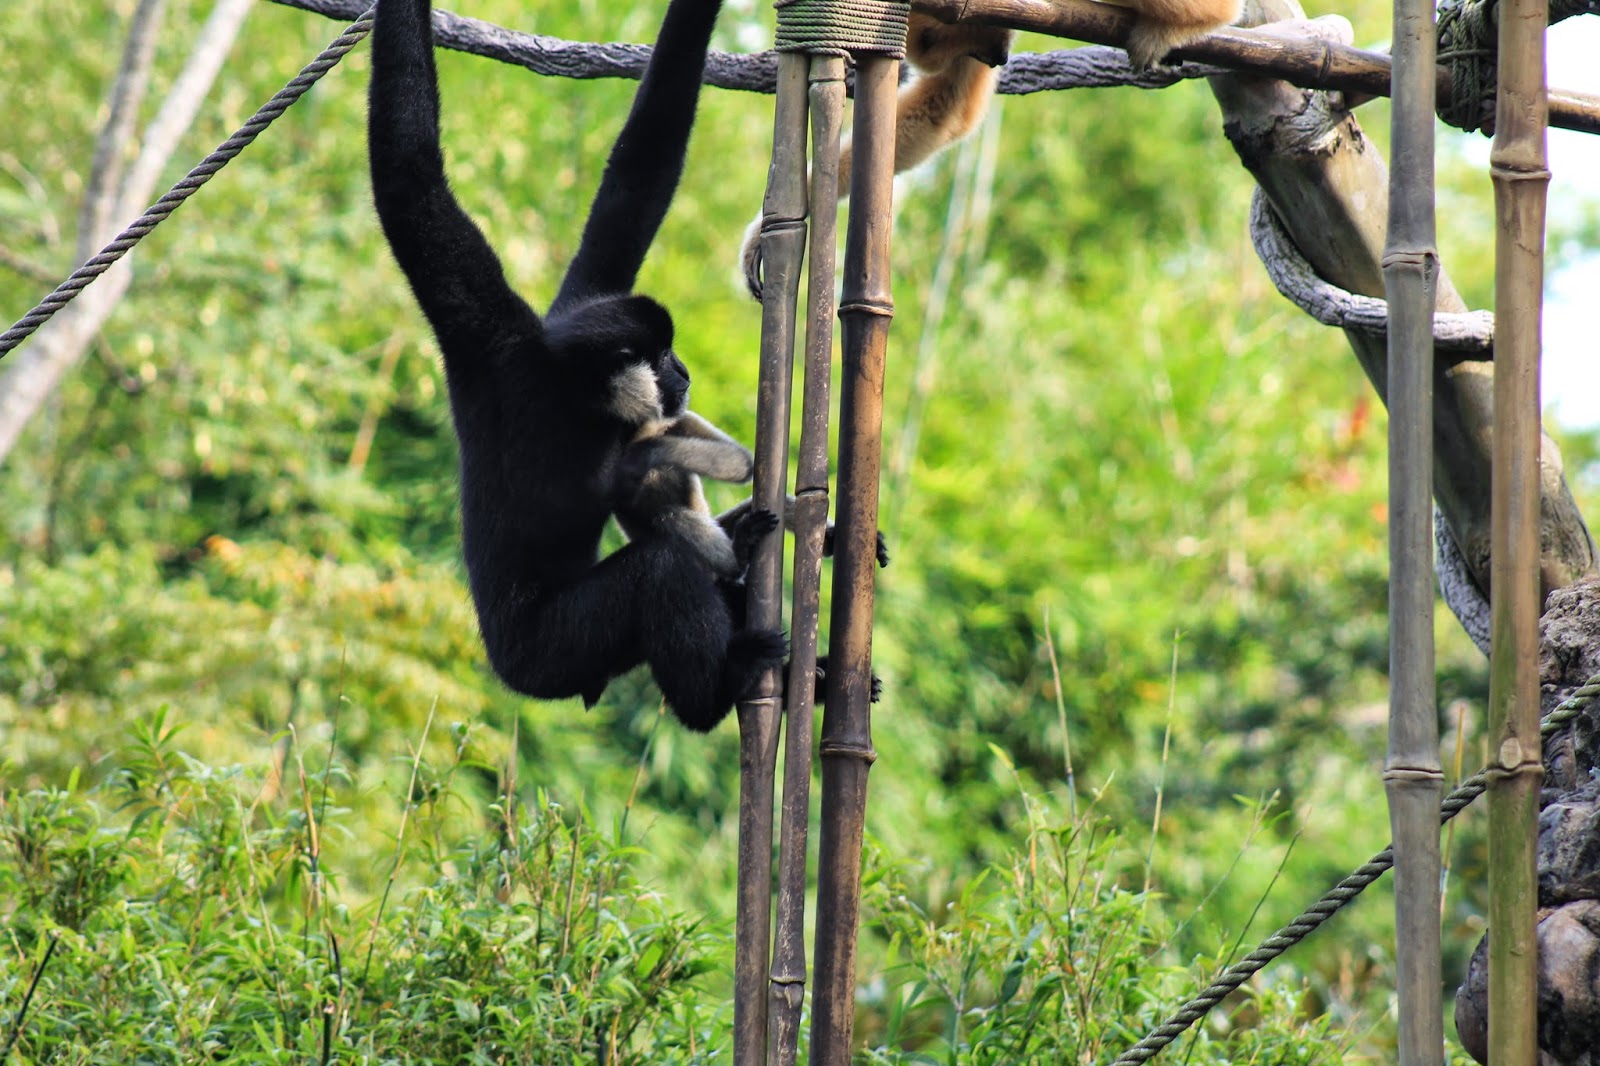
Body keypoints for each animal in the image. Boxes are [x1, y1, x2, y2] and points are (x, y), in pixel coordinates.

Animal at [368, 0, 789, 733]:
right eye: (661, 355)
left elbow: (635, 180)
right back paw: (717, 695)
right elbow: (410, 181)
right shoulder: (494, 348)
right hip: (554, 651)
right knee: (658, 570)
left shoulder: (549, 321)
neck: (577, 397)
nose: (683, 370)